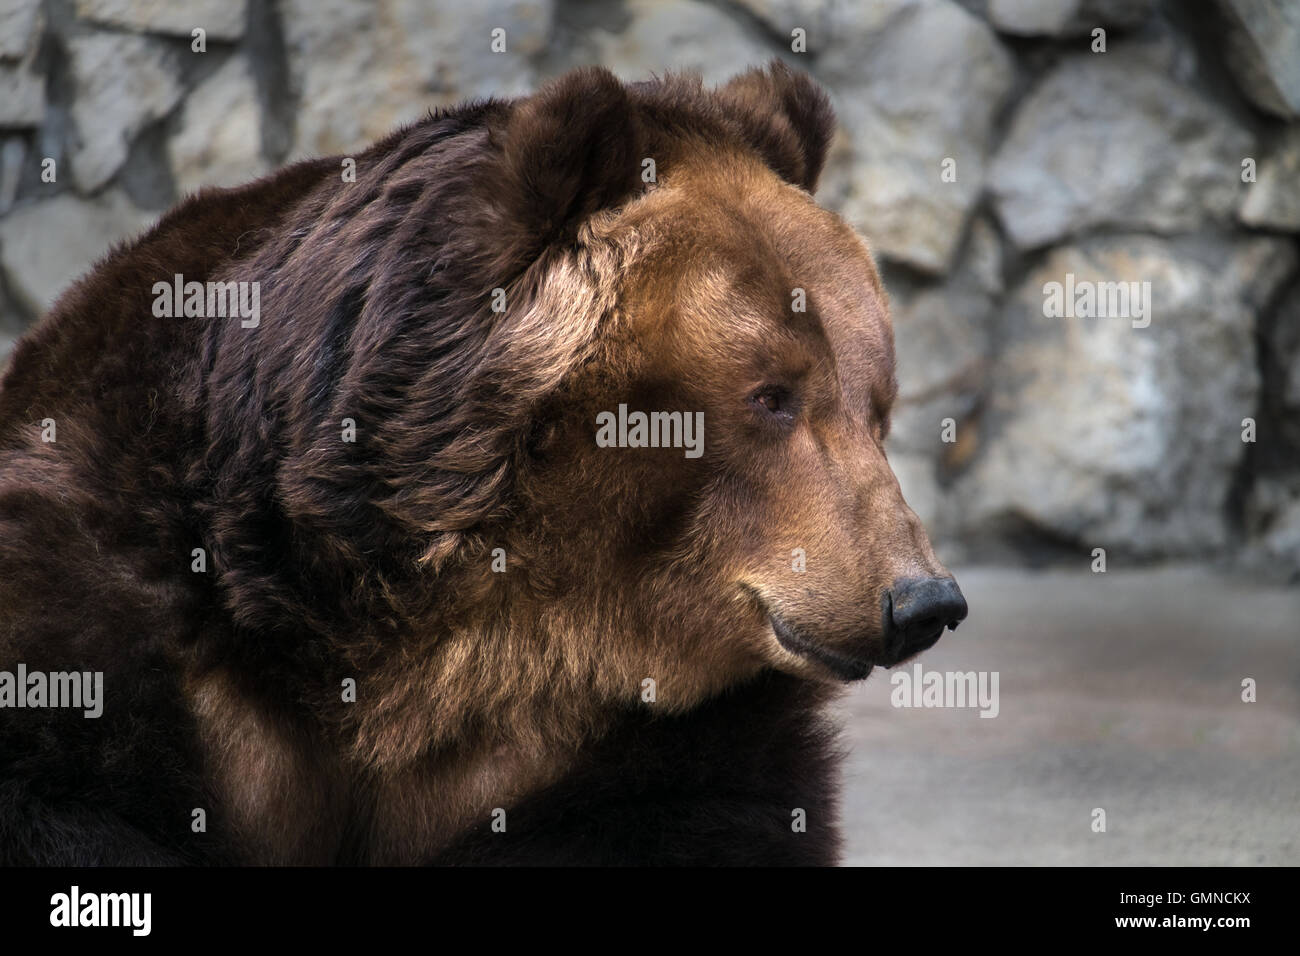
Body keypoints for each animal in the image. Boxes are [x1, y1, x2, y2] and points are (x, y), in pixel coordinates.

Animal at [0, 61, 966, 866]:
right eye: (773, 395)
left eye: (875, 404)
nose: (921, 600)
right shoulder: (121, 604)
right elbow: (69, 795)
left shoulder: (640, 740)